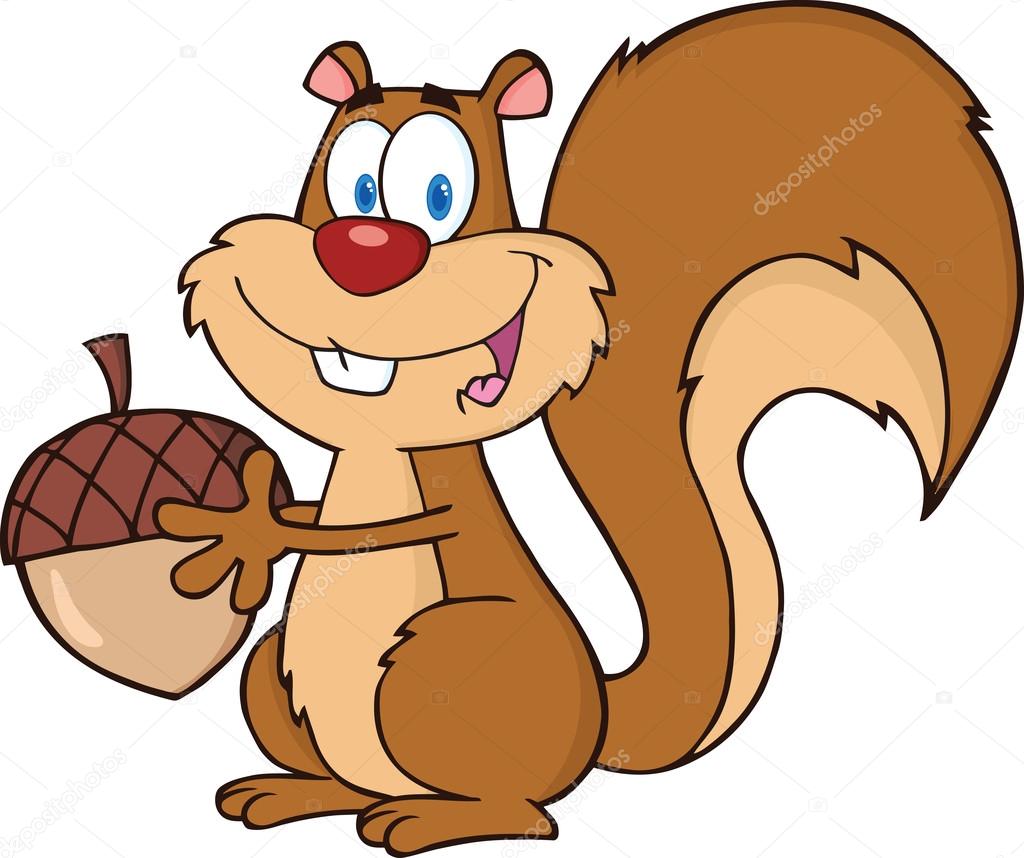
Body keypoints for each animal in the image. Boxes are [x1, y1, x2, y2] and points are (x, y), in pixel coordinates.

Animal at [155, 3, 1020, 854]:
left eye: (441, 194)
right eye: (356, 186)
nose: (361, 255)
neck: (376, 447)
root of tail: (595, 723)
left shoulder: (436, 512)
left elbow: (379, 531)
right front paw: (247, 527)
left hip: (436, 661)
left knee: (525, 811)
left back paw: (431, 818)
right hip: (272, 669)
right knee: (348, 765)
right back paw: (302, 794)